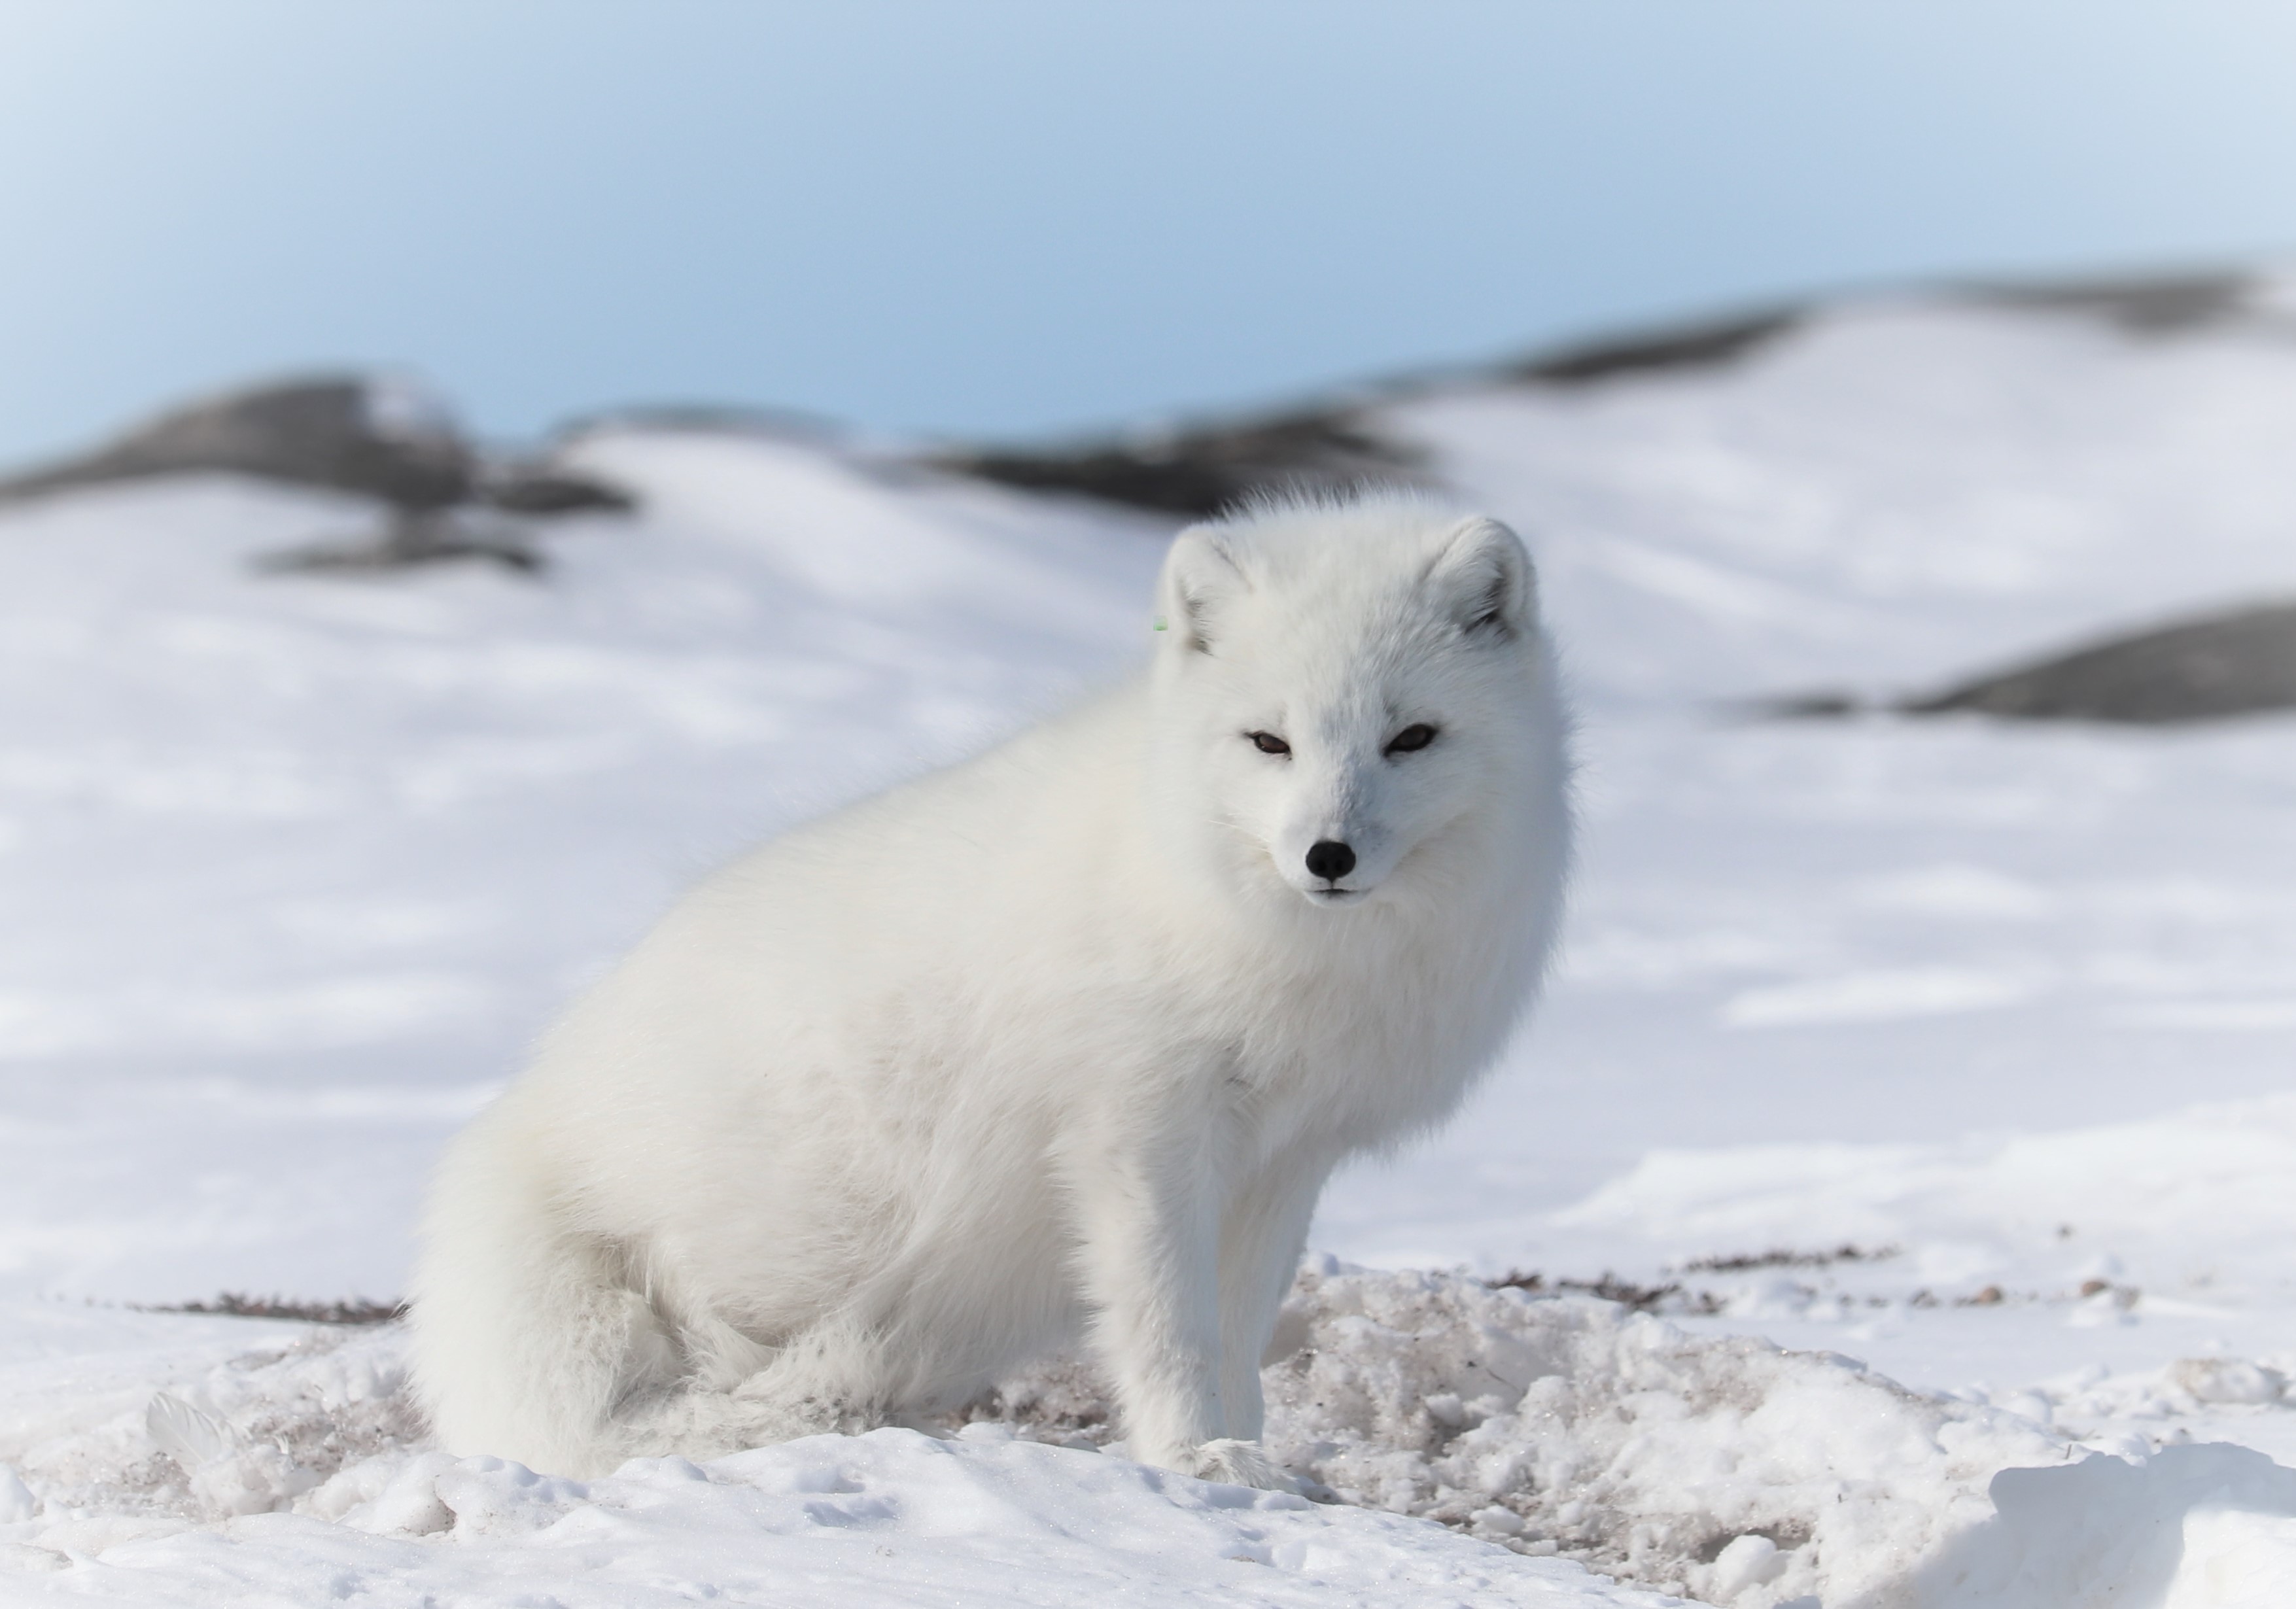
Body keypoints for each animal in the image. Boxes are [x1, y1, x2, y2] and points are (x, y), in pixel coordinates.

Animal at [408, 490, 1572, 1485]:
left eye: (1410, 737)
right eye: (1269, 742)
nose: (1327, 856)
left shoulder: (1284, 1158)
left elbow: (1236, 1330)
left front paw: (1247, 1456)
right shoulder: (1136, 1134)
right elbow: (1169, 1327)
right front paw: (1189, 1457)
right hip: (592, 1319)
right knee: (602, 1433)